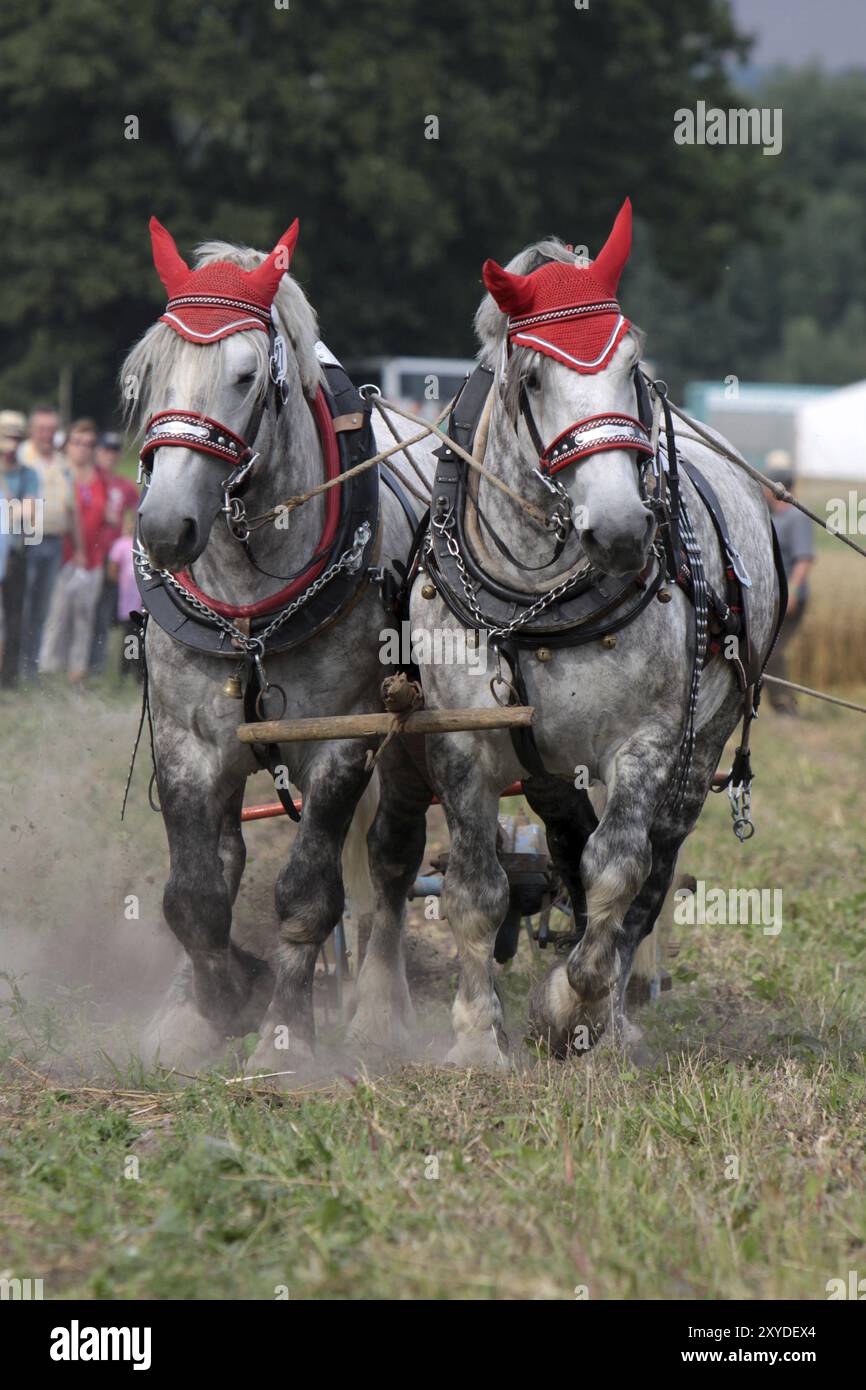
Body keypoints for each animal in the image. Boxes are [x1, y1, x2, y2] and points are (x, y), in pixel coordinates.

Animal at [123, 218, 436, 1073]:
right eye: (148, 373)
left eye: (242, 376)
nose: (164, 528)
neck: (250, 605)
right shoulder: (188, 741)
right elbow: (196, 894)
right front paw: (211, 1006)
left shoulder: (341, 740)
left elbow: (308, 893)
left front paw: (284, 1030)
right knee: (231, 860)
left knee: (392, 861)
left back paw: (379, 1008)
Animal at [402, 200, 781, 1064]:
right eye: (533, 378)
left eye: (630, 364)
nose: (618, 530)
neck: (535, 602)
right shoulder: (461, 737)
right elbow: (476, 887)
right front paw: (476, 1037)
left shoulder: (649, 741)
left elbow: (617, 871)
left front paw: (570, 1008)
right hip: (546, 760)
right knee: (565, 834)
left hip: (701, 743)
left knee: (654, 863)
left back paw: (616, 1008)